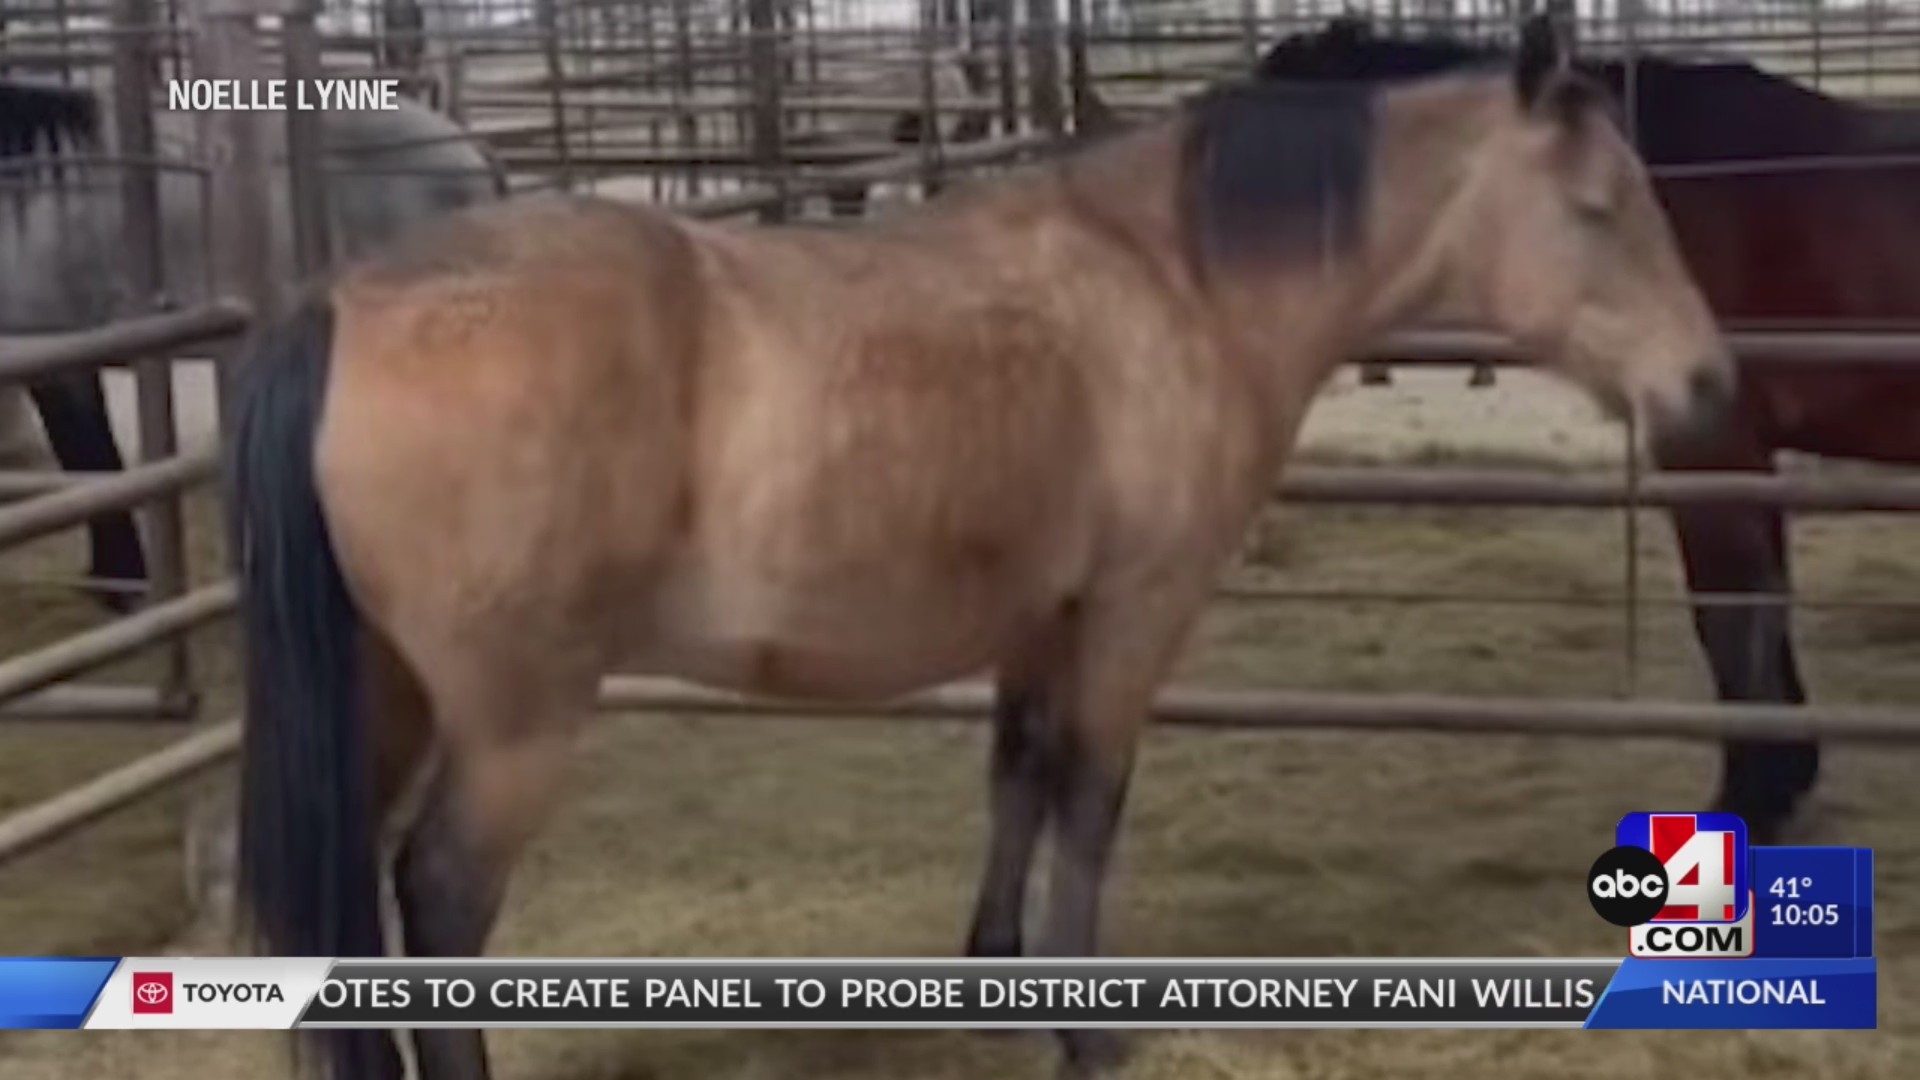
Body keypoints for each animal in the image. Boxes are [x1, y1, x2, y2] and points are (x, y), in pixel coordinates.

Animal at [229, 18, 1730, 1079]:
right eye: (1598, 210)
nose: (1708, 386)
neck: (1171, 282)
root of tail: (345, 304)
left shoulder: (1039, 615)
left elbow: (1016, 781)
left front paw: (997, 976)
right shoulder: (1131, 614)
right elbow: (1090, 800)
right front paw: (1087, 1029)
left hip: (385, 698)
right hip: (510, 724)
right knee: (438, 899)